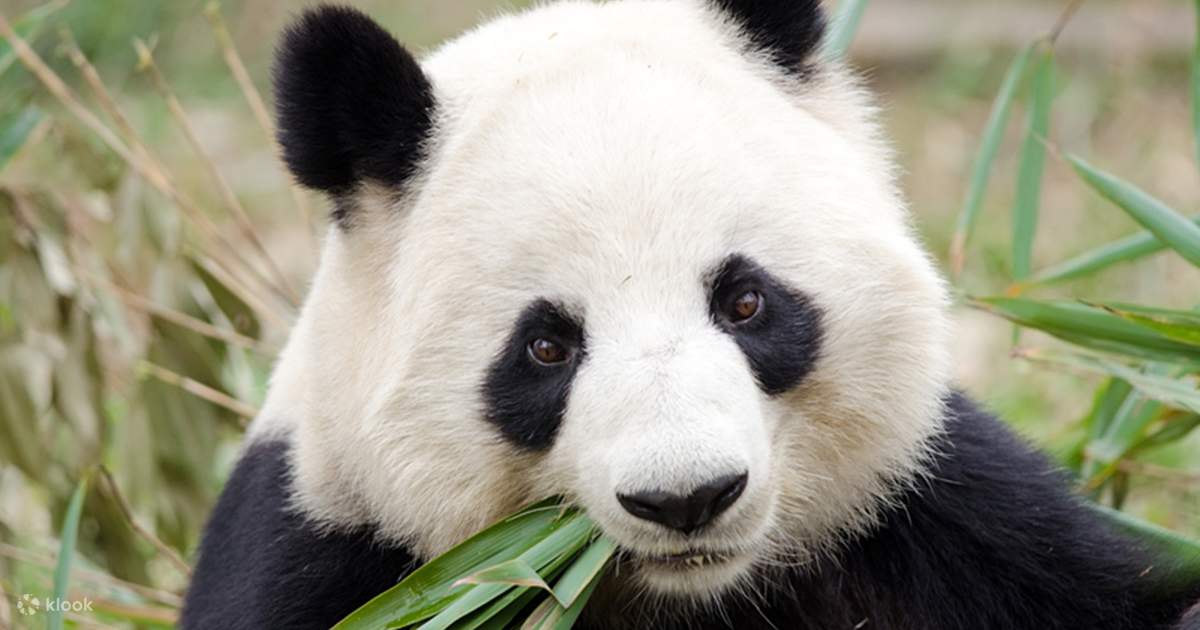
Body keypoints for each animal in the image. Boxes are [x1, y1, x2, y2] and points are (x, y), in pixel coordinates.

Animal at [180, 2, 1200, 629]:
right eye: (546, 347)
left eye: (745, 301)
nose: (687, 498)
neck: (690, 593)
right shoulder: (339, 553)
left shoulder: (934, 514)